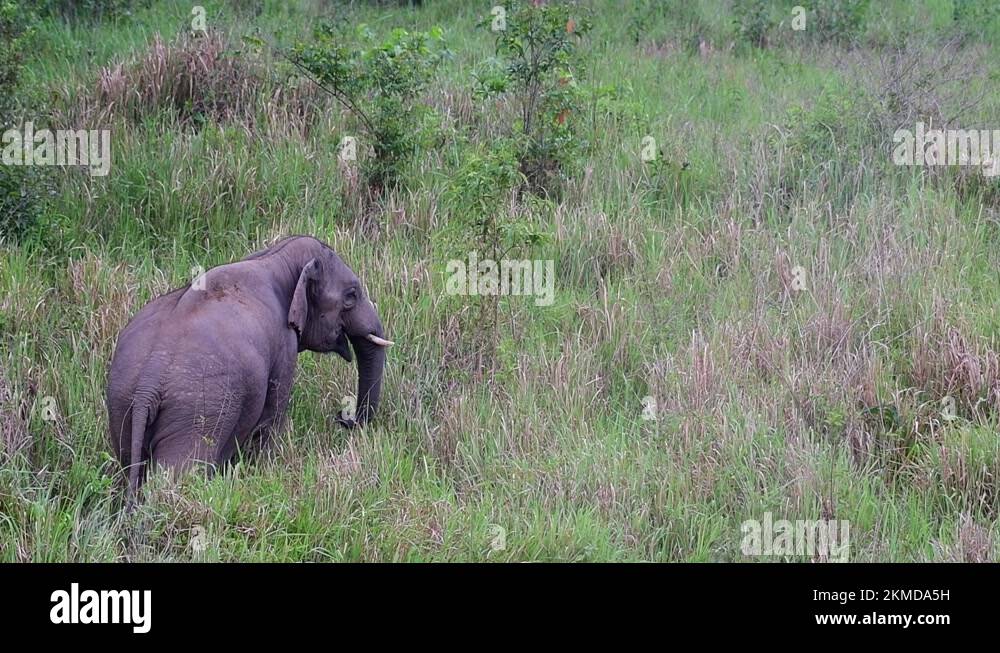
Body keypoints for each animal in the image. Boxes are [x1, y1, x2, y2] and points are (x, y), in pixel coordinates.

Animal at [106, 235, 392, 494]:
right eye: (351, 295)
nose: (343, 417)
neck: (274, 257)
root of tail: (148, 381)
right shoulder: (284, 345)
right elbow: (272, 415)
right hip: (196, 410)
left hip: (122, 403)